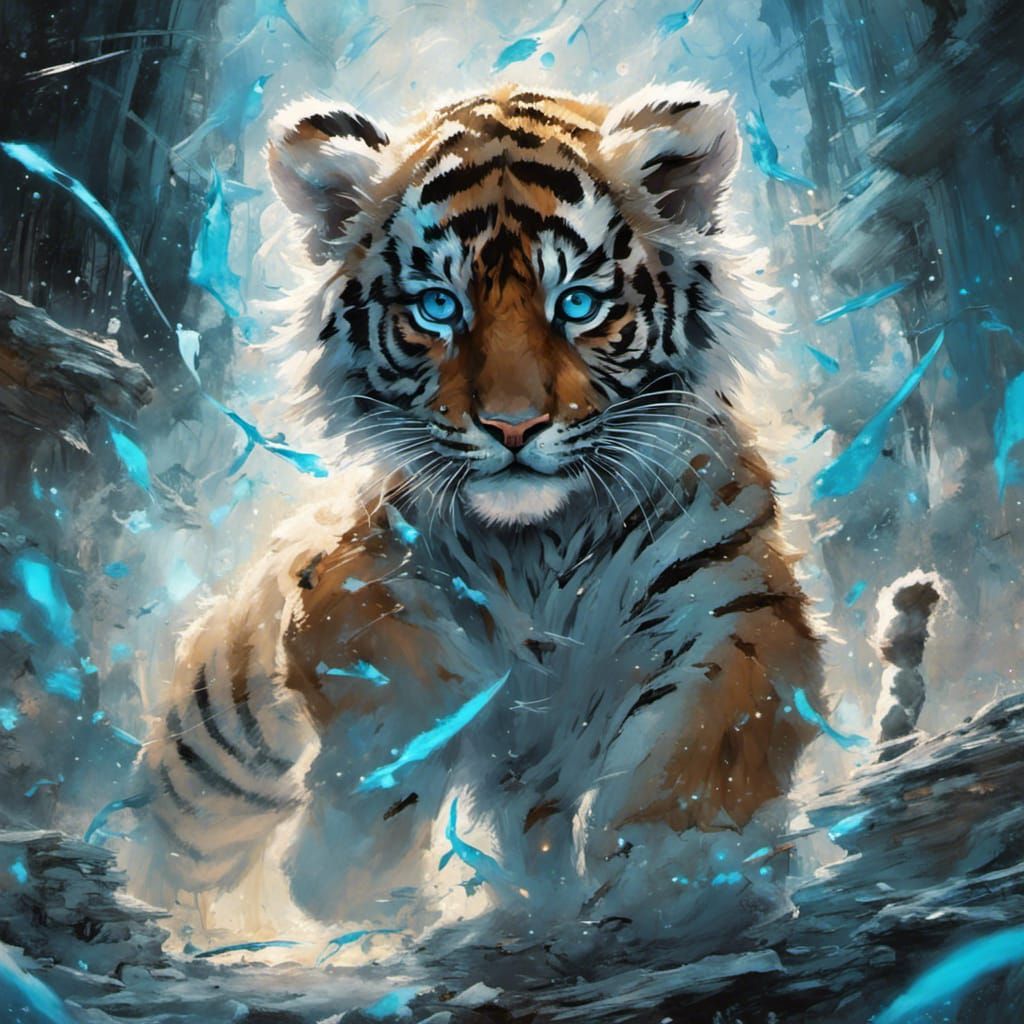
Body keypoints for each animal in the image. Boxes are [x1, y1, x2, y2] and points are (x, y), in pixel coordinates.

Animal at [133, 82, 825, 940]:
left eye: (578, 304)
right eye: (438, 307)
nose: (512, 427)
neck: (540, 546)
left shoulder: (735, 598)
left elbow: (706, 735)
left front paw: (685, 874)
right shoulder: (355, 580)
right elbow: (398, 682)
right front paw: (346, 871)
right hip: (211, 763)